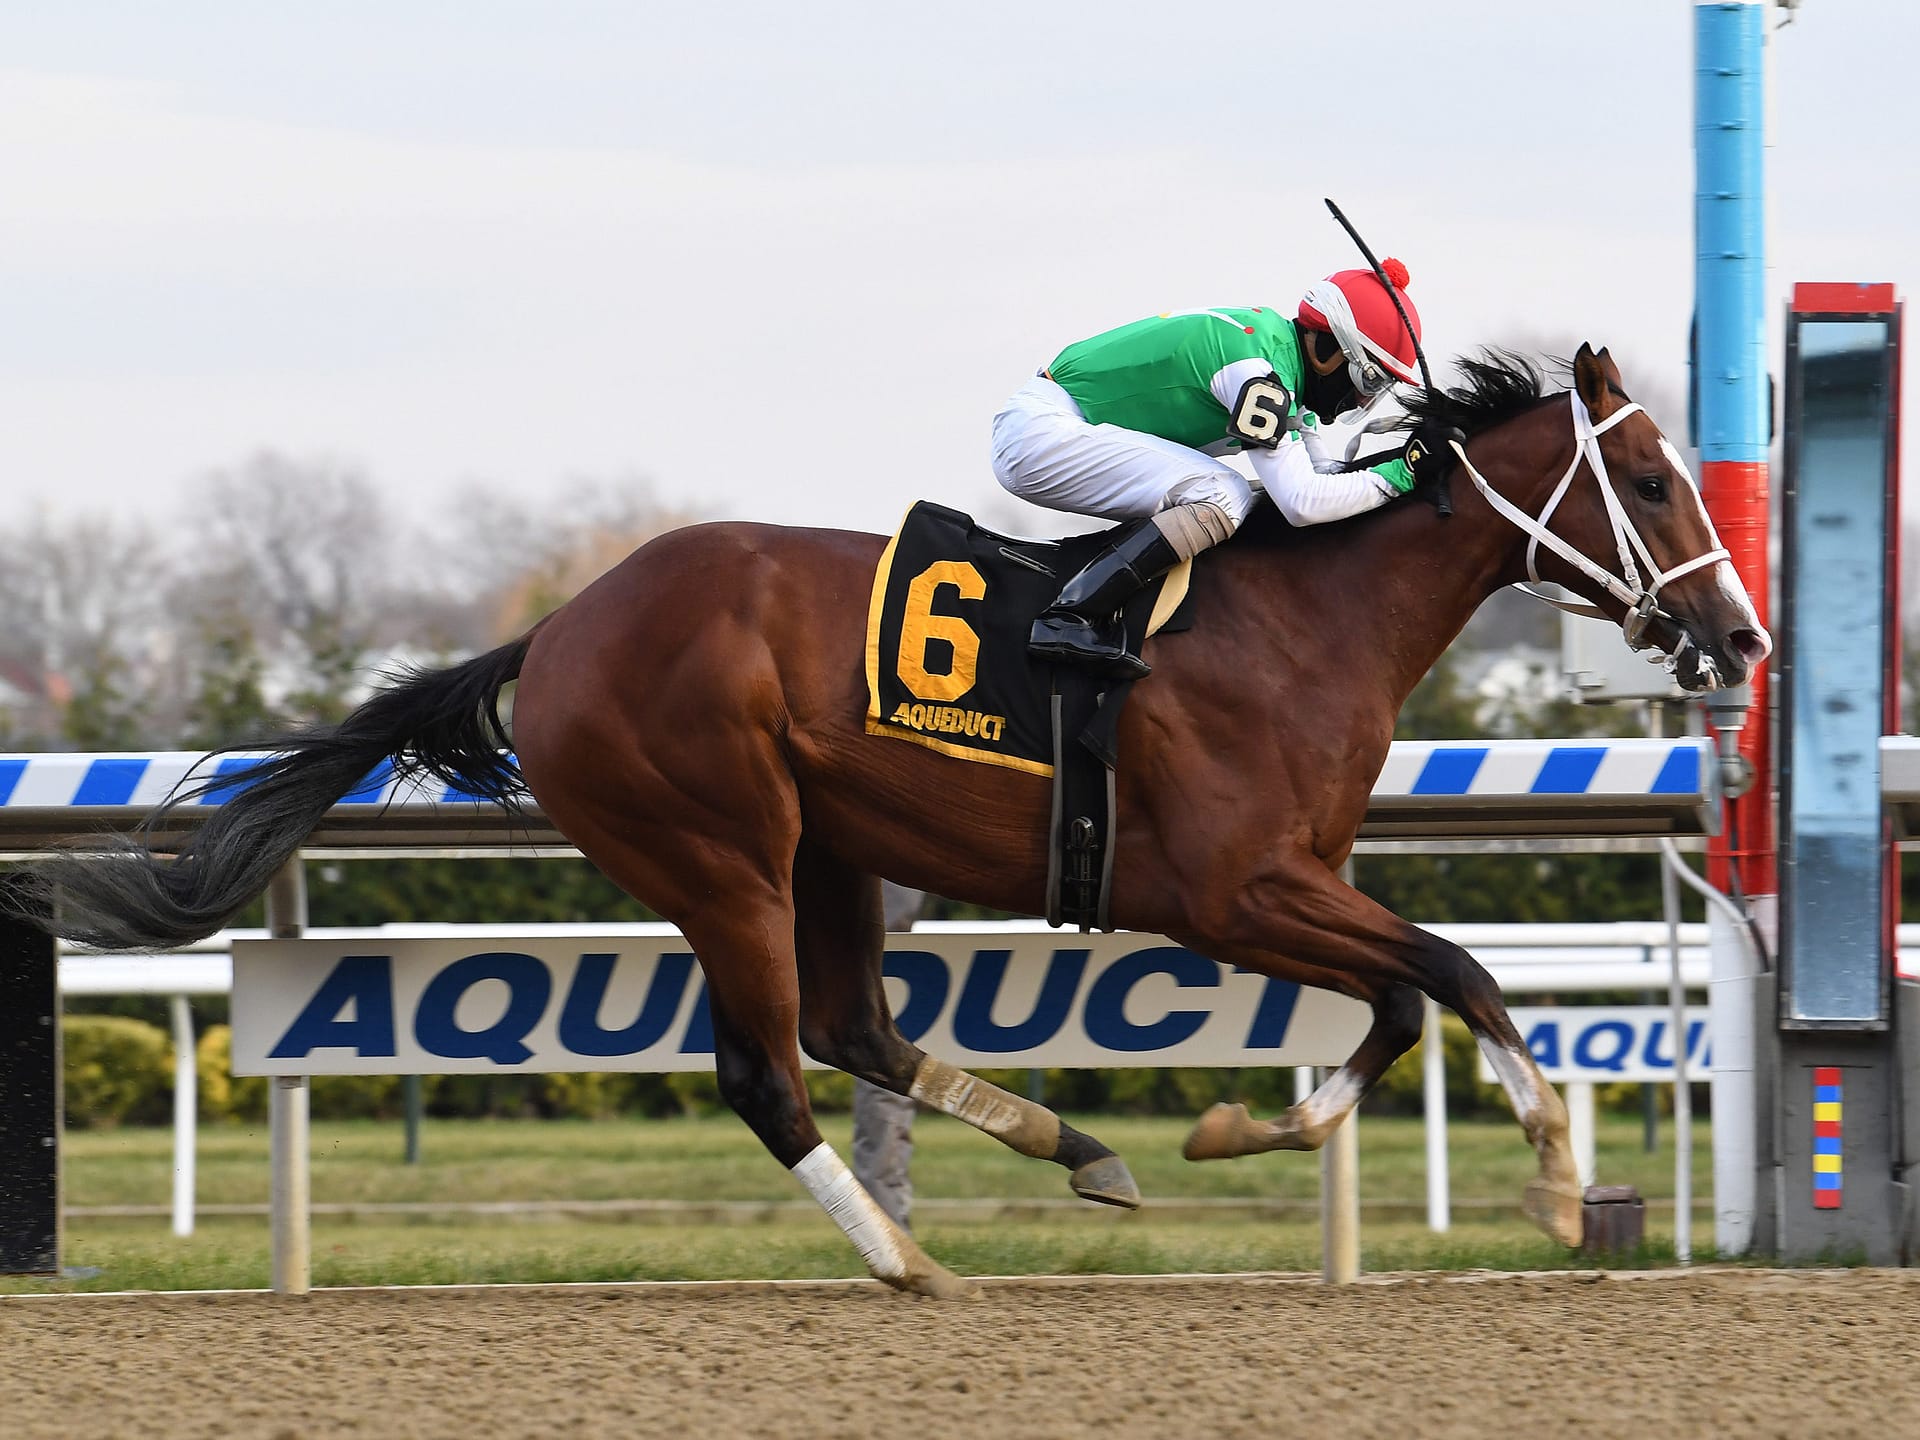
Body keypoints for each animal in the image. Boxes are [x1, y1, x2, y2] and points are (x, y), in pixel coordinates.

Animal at [28, 345, 1769, 1298]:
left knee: (857, 1028)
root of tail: (563, 627)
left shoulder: (1289, 884)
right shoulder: (1229, 887)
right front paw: (1553, 1178)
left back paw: (1077, 1152)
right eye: (1656, 484)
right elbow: (1453, 972)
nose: (1740, 637)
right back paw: (908, 1259)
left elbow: (1407, 999)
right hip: (719, 850)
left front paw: (1236, 1130)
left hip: (835, 851)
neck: (1299, 621)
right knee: (766, 1067)